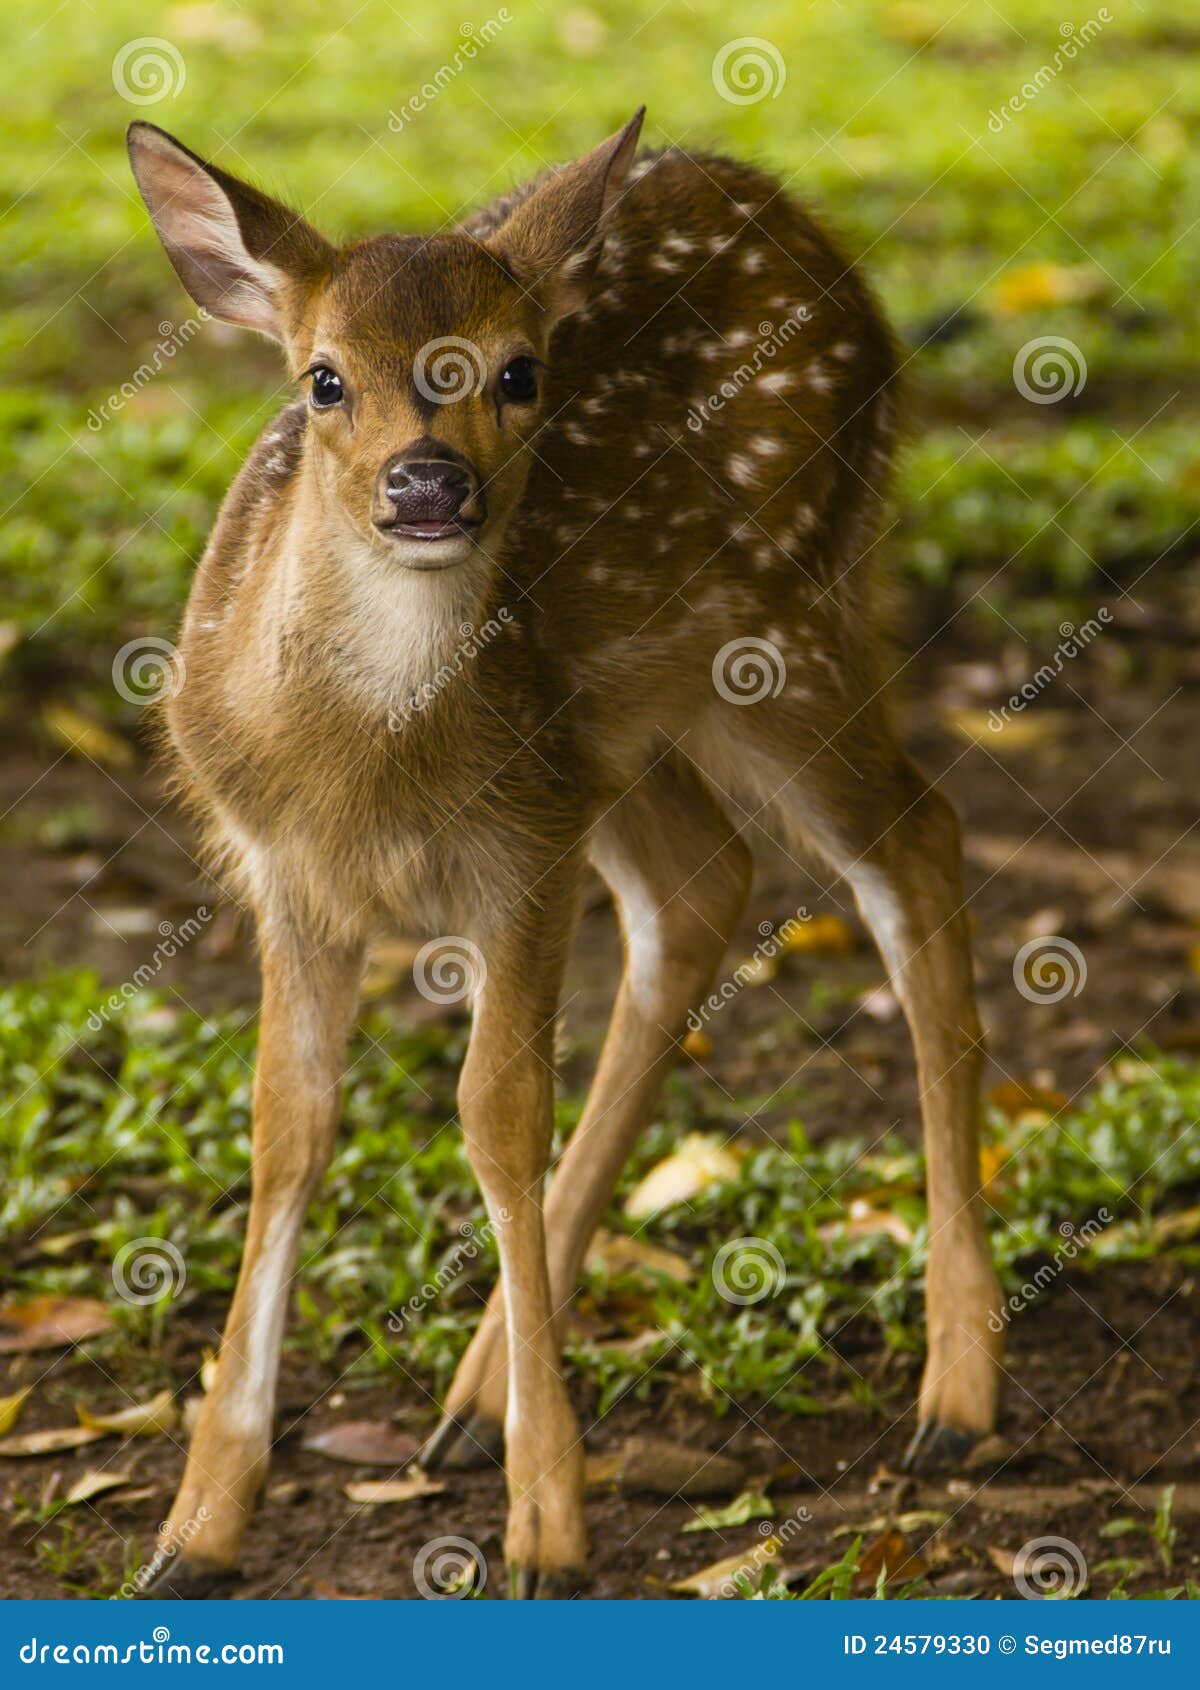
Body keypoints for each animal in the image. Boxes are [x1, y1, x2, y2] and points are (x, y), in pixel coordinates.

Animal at [125, 108, 1003, 1599]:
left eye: (518, 370)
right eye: (323, 380)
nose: (429, 483)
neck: (368, 773)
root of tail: (795, 215)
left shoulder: (520, 853)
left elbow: (496, 1116)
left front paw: (549, 1528)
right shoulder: (294, 874)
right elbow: (288, 1125)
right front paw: (197, 1527)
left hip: (784, 623)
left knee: (920, 842)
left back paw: (958, 1391)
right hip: (627, 734)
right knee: (705, 887)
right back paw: (471, 1399)